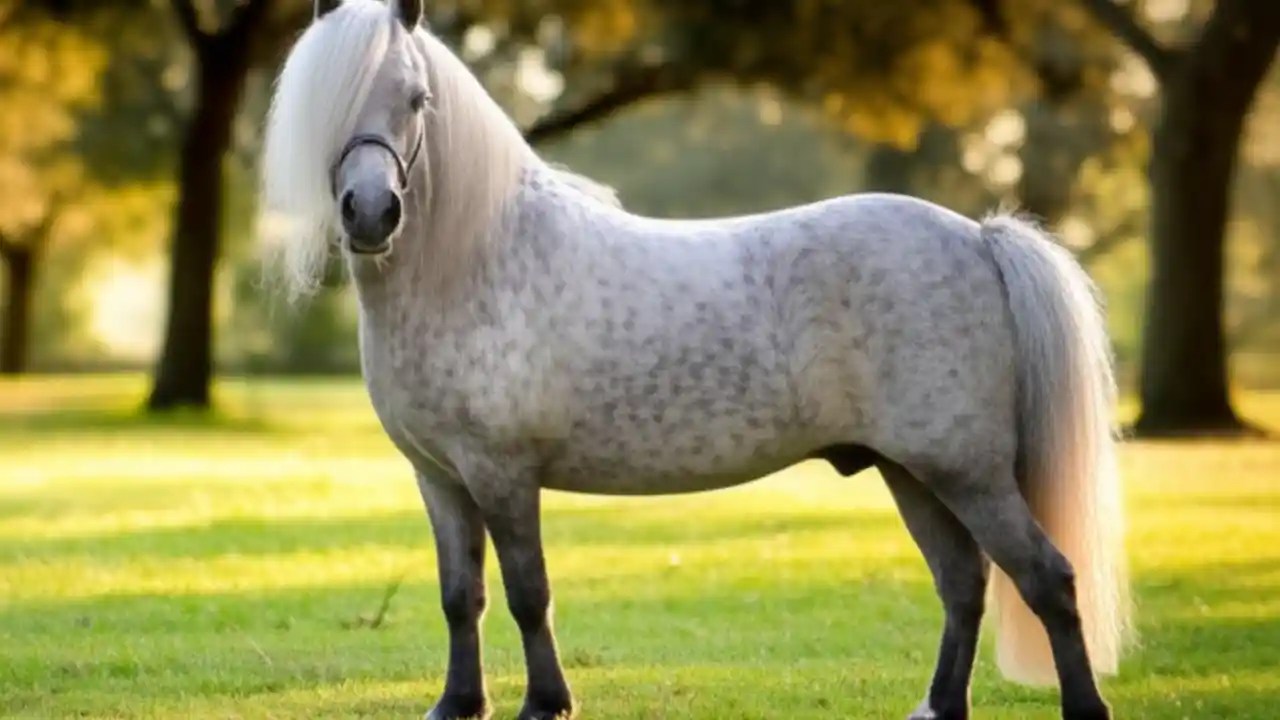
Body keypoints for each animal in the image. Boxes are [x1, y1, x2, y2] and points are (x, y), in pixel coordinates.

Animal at [260, 1, 1132, 718]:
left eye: (417, 99)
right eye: (330, 101)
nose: (372, 214)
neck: (475, 259)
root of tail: (978, 238)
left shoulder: (502, 472)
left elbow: (527, 592)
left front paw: (545, 704)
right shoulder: (439, 478)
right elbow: (459, 594)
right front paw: (457, 705)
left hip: (967, 472)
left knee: (1045, 578)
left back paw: (1083, 708)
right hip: (915, 472)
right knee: (964, 585)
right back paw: (938, 708)